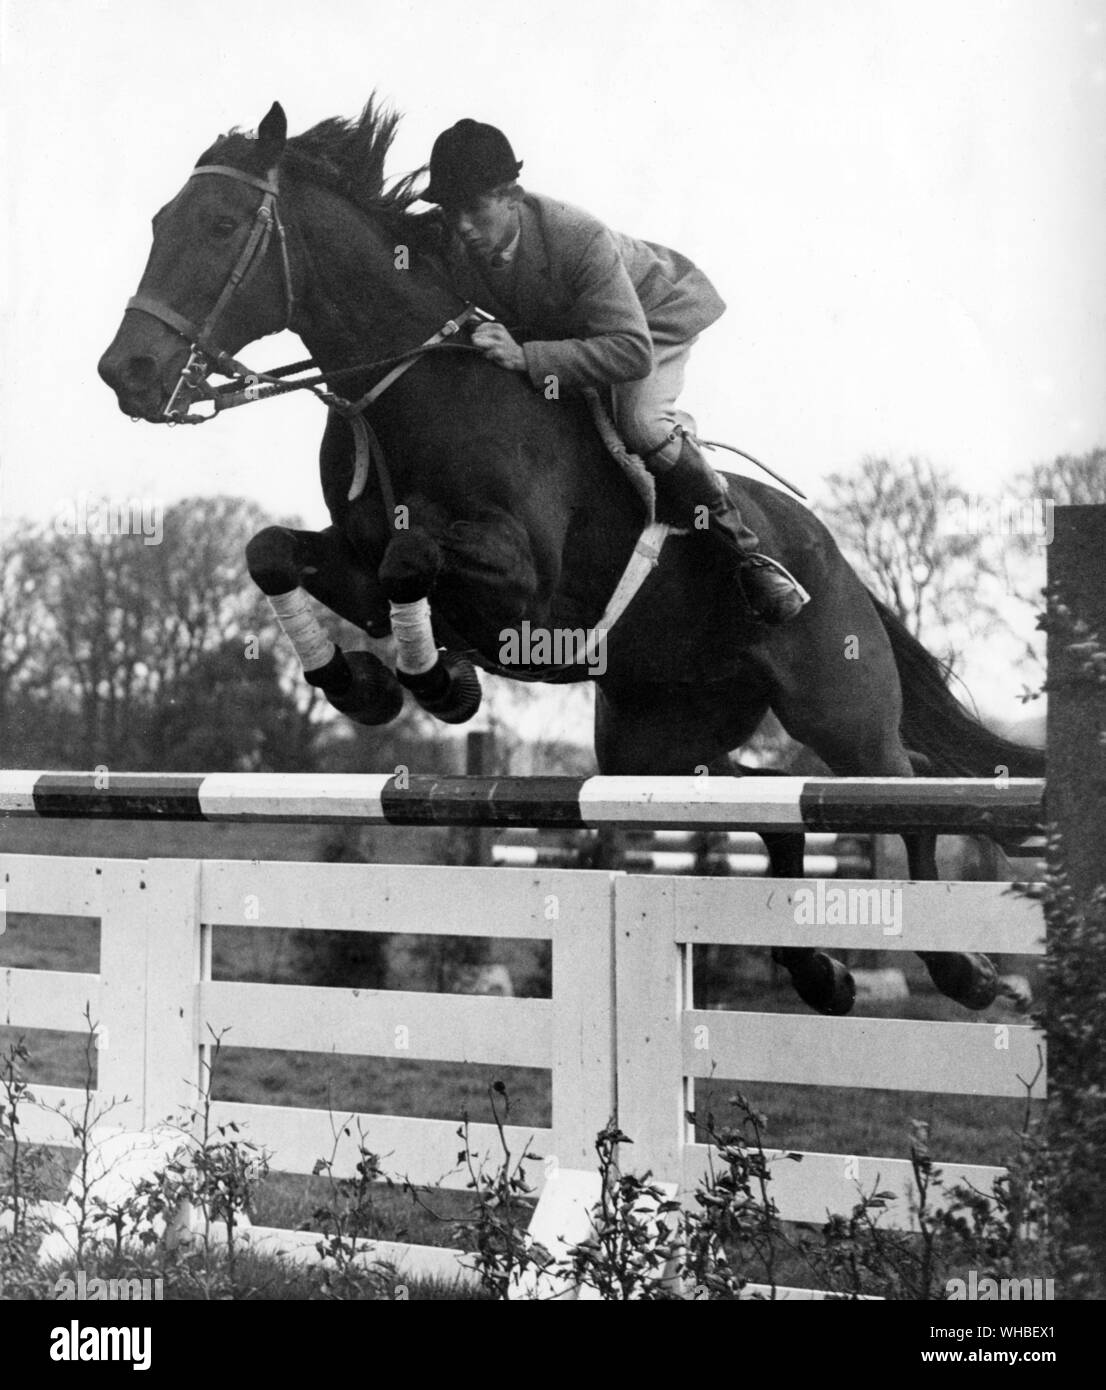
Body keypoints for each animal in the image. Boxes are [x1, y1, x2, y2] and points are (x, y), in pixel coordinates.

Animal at [97, 95, 1044, 1011]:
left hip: (839, 710)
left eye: (221, 226)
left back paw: (963, 971)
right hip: (652, 739)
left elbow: (413, 558)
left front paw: (439, 683)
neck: (408, 384)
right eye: (158, 222)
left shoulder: (520, 583)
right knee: (767, 807)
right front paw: (362, 684)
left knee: (908, 788)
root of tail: (837, 556)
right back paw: (823, 974)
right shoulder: (355, 562)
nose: (126, 374)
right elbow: (274, 552)